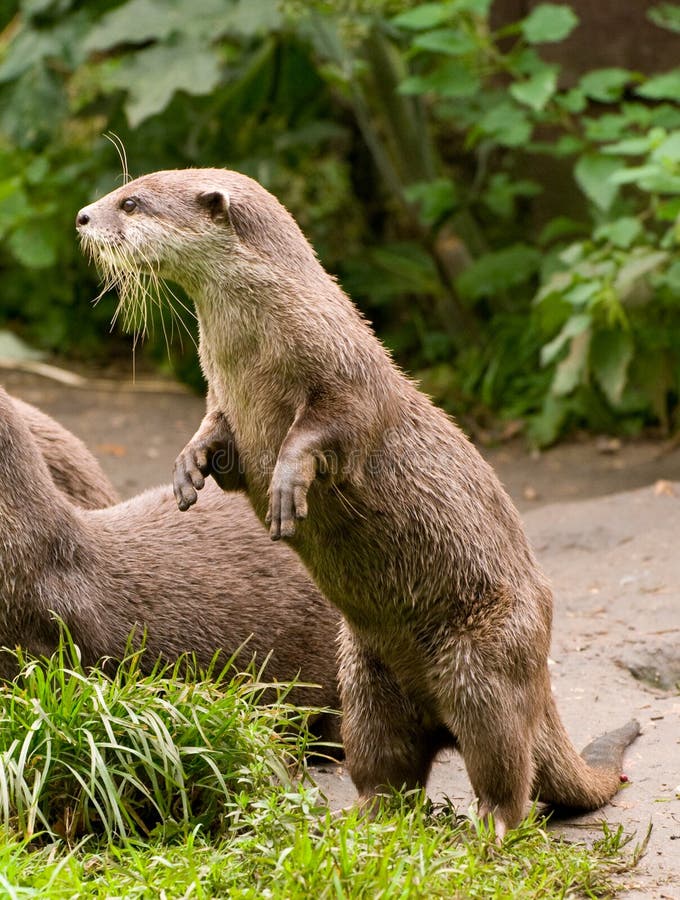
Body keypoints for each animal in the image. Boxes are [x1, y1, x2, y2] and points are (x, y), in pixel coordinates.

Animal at [77, 169, 638, 837]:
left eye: (131, 201)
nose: (83, 217)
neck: (252, 360)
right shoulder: (223, 400)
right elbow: (216, 437)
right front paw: (188, 466)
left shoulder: (346, 377)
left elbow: (331, 428)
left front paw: (289, 483)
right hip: (364, 679)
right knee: (386, 769)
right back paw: (365, 821)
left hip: (489, 660)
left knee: (506, 767)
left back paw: (488, 831)